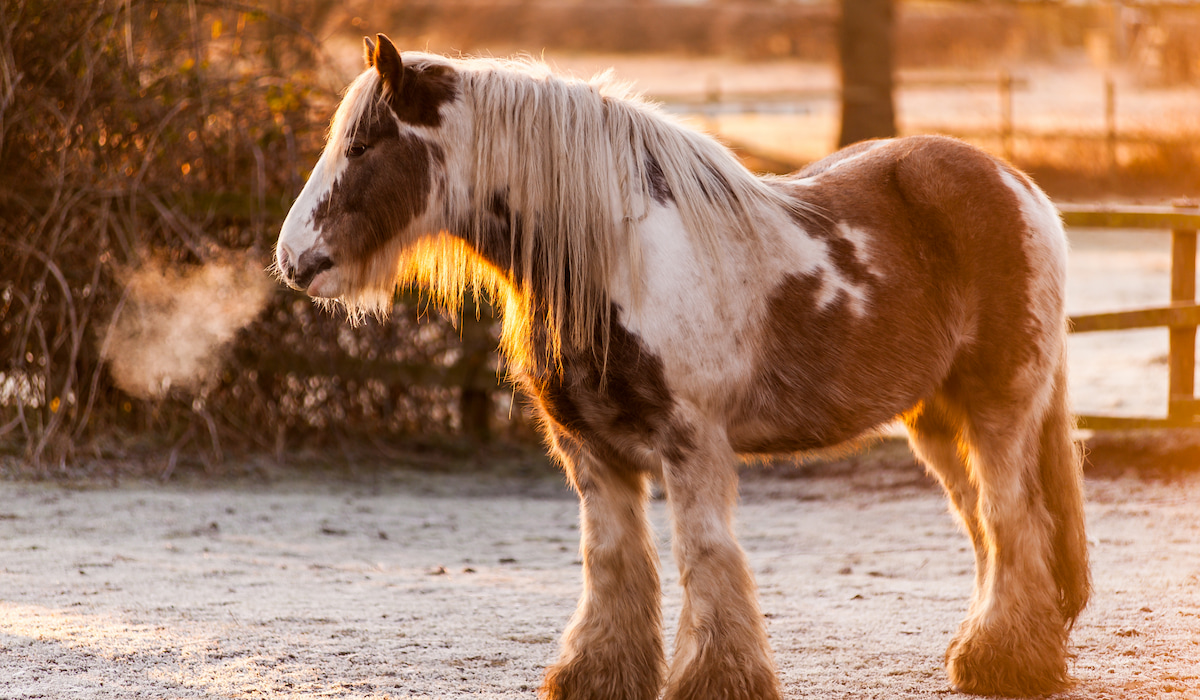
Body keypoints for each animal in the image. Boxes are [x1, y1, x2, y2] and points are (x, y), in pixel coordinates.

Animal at [274, 34, 1090, 700]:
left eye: (362, 145)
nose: (292, 259)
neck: (617, 256)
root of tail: (1019, 188)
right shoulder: (589, 449)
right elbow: (613, 559)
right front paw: (597, 674)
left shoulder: (692, 443)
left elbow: (704, 555)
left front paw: (718, 680)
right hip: (936, 420)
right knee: (986, 528)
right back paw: (993, 652)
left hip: (998, 409)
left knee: (1012, 518)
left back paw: (1008, 666)